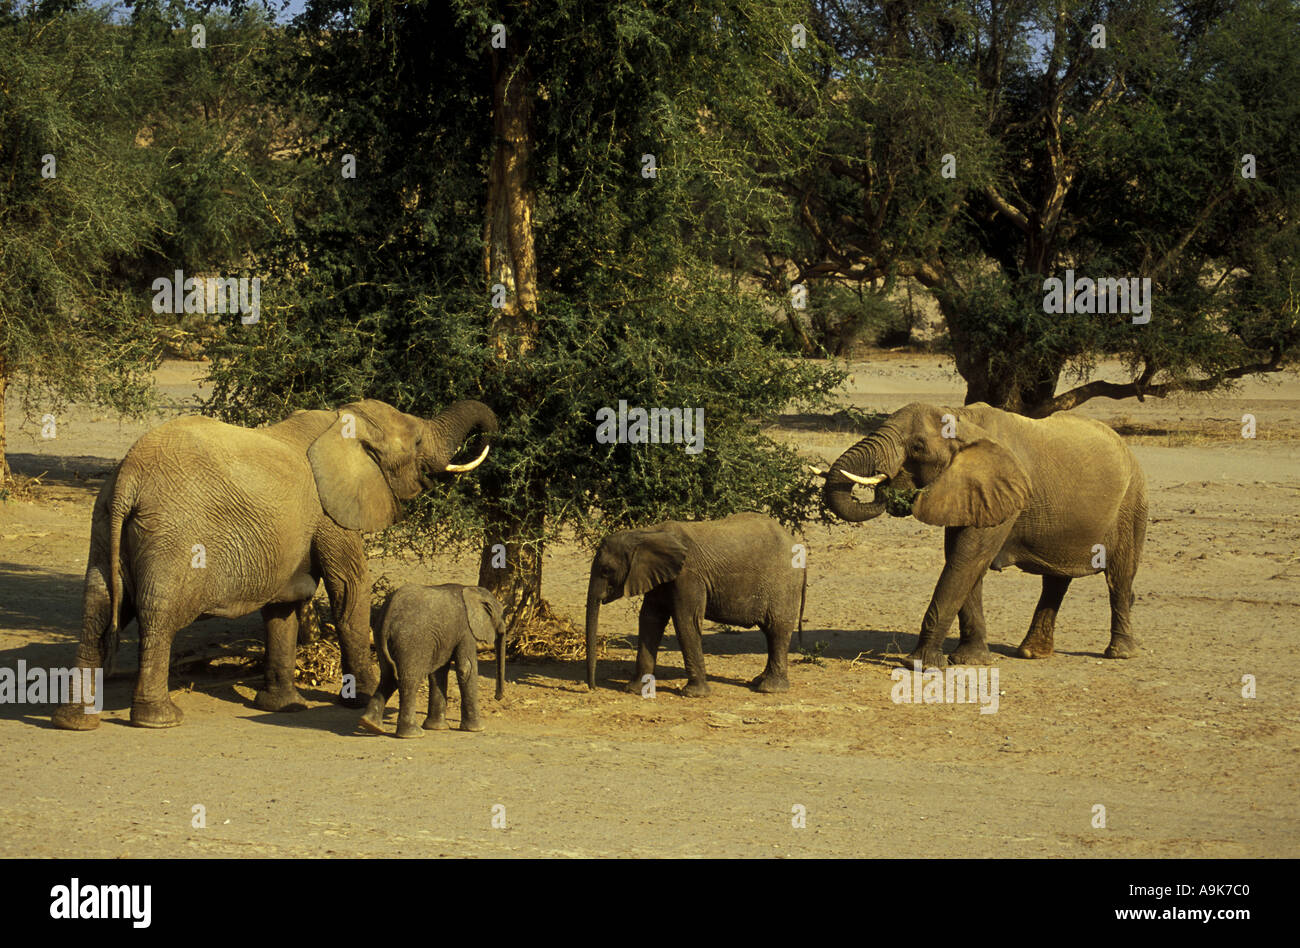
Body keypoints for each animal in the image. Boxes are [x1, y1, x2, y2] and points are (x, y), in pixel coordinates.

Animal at [51, 398, 497, 730]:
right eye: (418, 440)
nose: (494, 433)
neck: (343, 422)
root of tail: (128, 477)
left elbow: (283, 607)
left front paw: (283, 707)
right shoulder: (329, 512)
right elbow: (350, 590)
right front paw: (363, 698)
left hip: (102, 523)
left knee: (96, 607)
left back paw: (75, 721)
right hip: (173, 535)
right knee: (158, 614)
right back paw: (158, 719)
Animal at [358, 584, 506, 738]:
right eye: (501, 613)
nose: (498, 697)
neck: (472, 590)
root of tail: (388, 614)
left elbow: (438, 671)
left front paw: (437, 728)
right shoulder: (466, 630)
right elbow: (466, 668)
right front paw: (477, 729)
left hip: (380, 637)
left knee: (389, 677)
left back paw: (370, 724)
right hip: (411, 641)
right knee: (409, 681)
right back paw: (413, 734)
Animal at [584, 512, 807, 697]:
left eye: (606, 570)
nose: (592, 688)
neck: (646, 533)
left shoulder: (688, 575)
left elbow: (686, 621)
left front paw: (694, 694)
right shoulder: (659, 575)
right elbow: (650, 620)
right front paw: (634, 690)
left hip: (784, 582)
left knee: (777, 628)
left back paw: (769, 689)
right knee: (771, 632)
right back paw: (759, 681)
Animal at [821, 401, 1147, 668]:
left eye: (917, 447)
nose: (887, 483)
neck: (962, 419)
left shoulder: (1003, 492)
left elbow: (966, 560)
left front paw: (919, 665)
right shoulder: (970, 492)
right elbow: (962, 563)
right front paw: (970, 660)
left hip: (1132, 503)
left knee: (1119, 576)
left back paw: (1120, 654)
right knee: (1056, 581)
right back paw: (1032, 653)